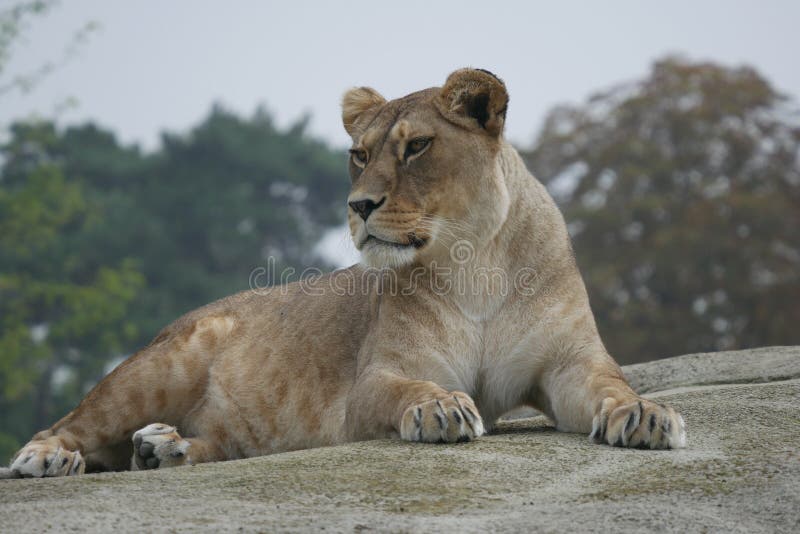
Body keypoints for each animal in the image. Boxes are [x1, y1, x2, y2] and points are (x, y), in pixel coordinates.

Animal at [6, 68, 685, 478]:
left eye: (416, 147)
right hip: (156, 369)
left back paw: (161, 448)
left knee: (210, 446)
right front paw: (440, 409)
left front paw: (648, 416)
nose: (358, 205)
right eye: (359, 154)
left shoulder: (568, 364)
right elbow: (406, 390)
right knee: (69, 425)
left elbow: (613, 385)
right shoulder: (376, 379)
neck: (476, 264)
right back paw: (49, 459)